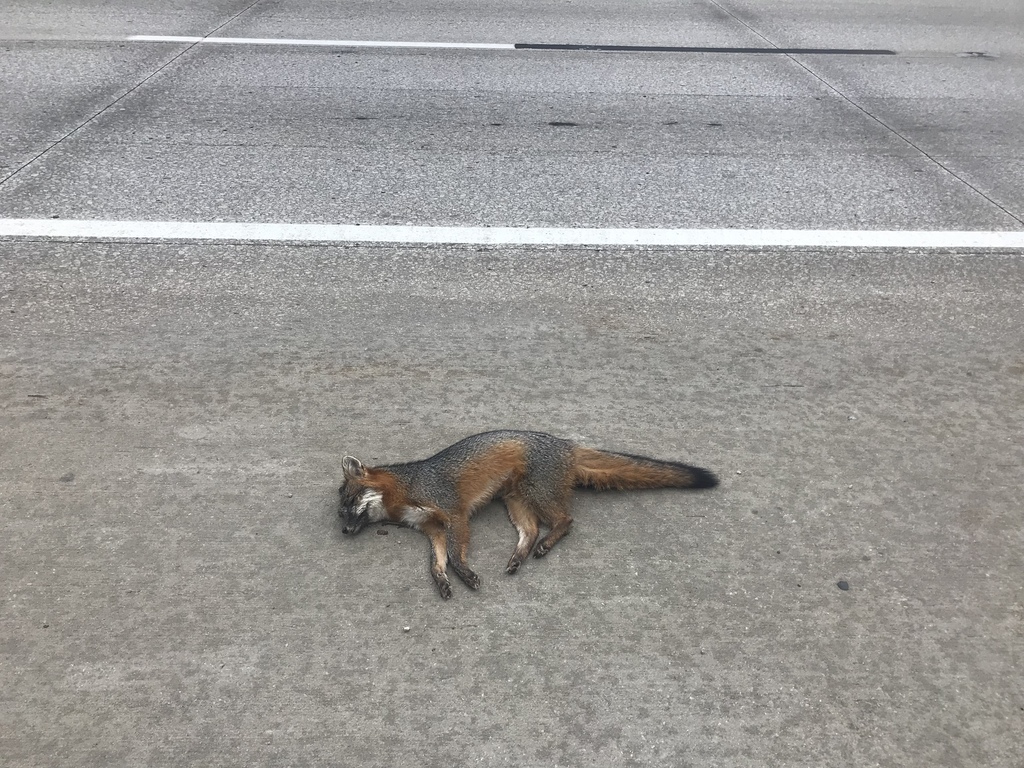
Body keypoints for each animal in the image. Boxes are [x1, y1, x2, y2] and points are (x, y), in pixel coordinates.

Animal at [337, 430, 718, 599]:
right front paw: (443, 581)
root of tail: (566, 444)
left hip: (536, 493)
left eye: (349, 503)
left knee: (566, 520)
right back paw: (519, 556)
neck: (406, 490)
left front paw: (466, 575)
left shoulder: (454, 514)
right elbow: (436, 563)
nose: (342, 530)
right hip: (516, 503)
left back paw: (547, 544)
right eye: (341, 514)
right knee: (531, 530)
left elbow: (457, 556)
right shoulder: (433, 528)